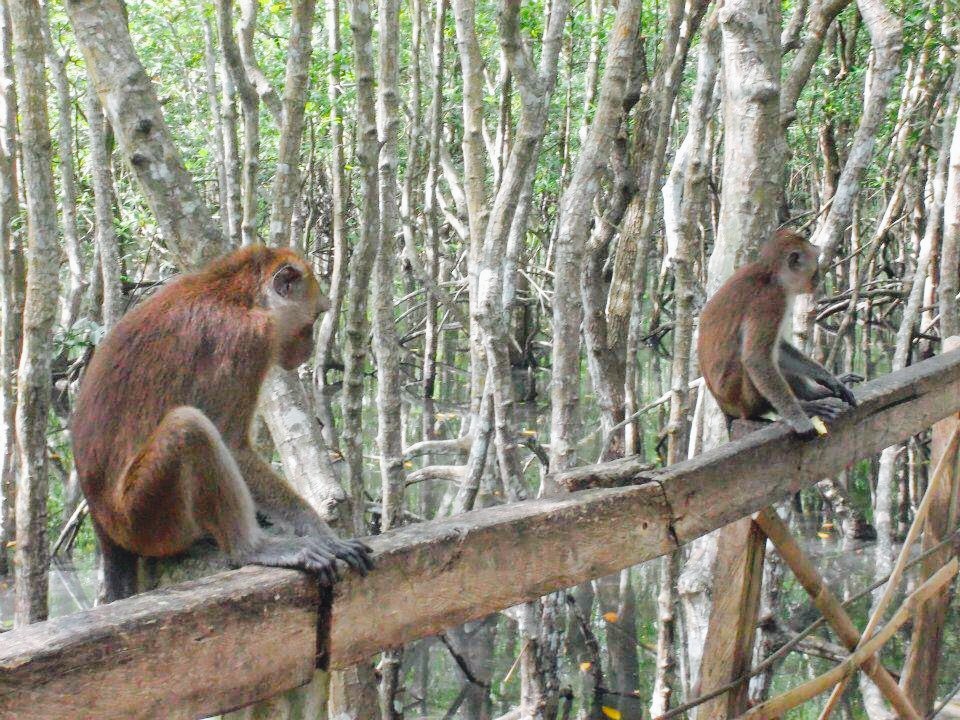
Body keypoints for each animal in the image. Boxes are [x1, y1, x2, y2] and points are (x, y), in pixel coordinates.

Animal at [72, 245, 374, 602]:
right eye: (312, 319)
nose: (309, 347)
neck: (238, 296)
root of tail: (105, 526)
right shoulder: (247, 340)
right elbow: (231, 443)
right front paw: (320, 532)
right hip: (144, 519)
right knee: (190, 429)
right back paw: (251, 548)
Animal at [697, 229, 860, 440]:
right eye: (814, 262)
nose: (818, 278)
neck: (771, 275)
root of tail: (724, 406)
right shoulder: (771, 302)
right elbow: (756, 359)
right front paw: (800, 418)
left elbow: (779, 349)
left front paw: (830, 380)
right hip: (741, 398)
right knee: (752, 360)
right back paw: (800, 407)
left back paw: (811, 394)